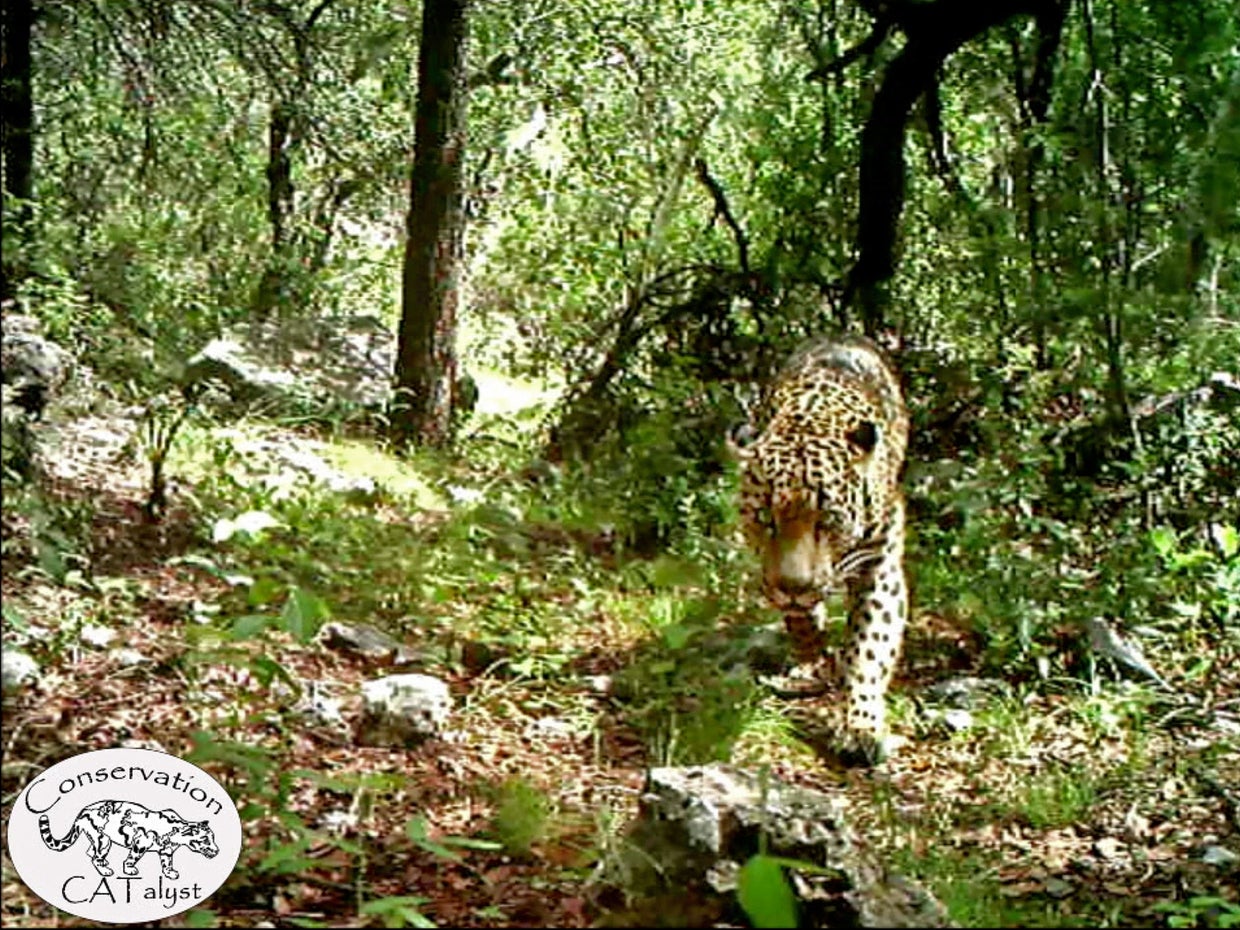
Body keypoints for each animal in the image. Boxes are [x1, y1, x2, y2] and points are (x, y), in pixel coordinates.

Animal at [39, 799, 220, 881]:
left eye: (213, 838)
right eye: (205, 839)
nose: (217, 850)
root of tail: (83, 811)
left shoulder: (166, 851)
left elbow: (167, 863)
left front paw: (170, 873)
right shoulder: (140, 845)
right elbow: (132, 859)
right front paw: (129, 870)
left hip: (102, 841)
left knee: (90, 852)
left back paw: (104, 863)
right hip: (102, 840)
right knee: (95, 857)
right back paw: (105, 870)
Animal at [735, 332, 909, 765]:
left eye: (826, 520)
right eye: (765, 518)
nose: (792, 587)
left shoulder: (881, 563)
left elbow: (870, 644)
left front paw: (860, 725)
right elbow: (803, 624)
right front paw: (811, 659)